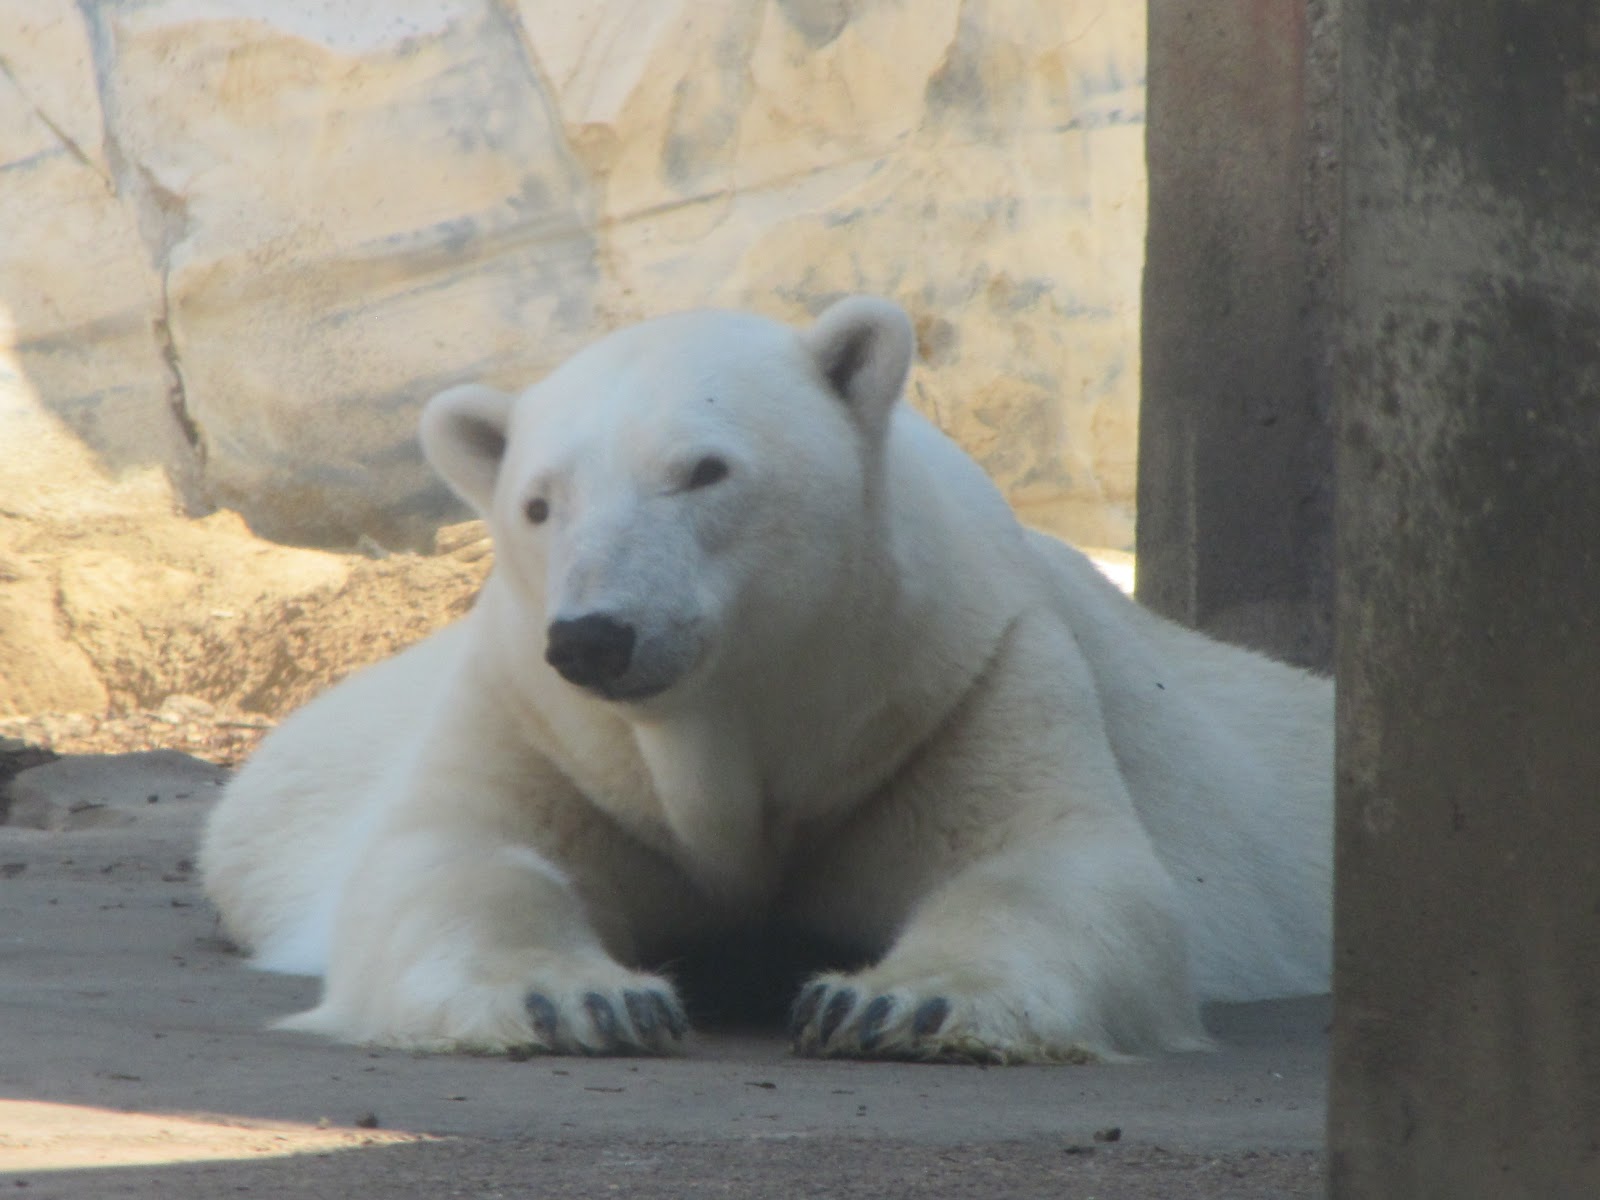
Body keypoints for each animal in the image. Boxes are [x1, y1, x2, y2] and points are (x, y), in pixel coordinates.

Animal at [199, 296, 1332, 1063]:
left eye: (704, 471)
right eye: (538, 502)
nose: (595, 636)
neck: (727, 722)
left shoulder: (961, 682)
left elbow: (1059, 866)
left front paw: (891, 1003)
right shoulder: (542, 720)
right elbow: (451, 858)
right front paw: (584, 1000)